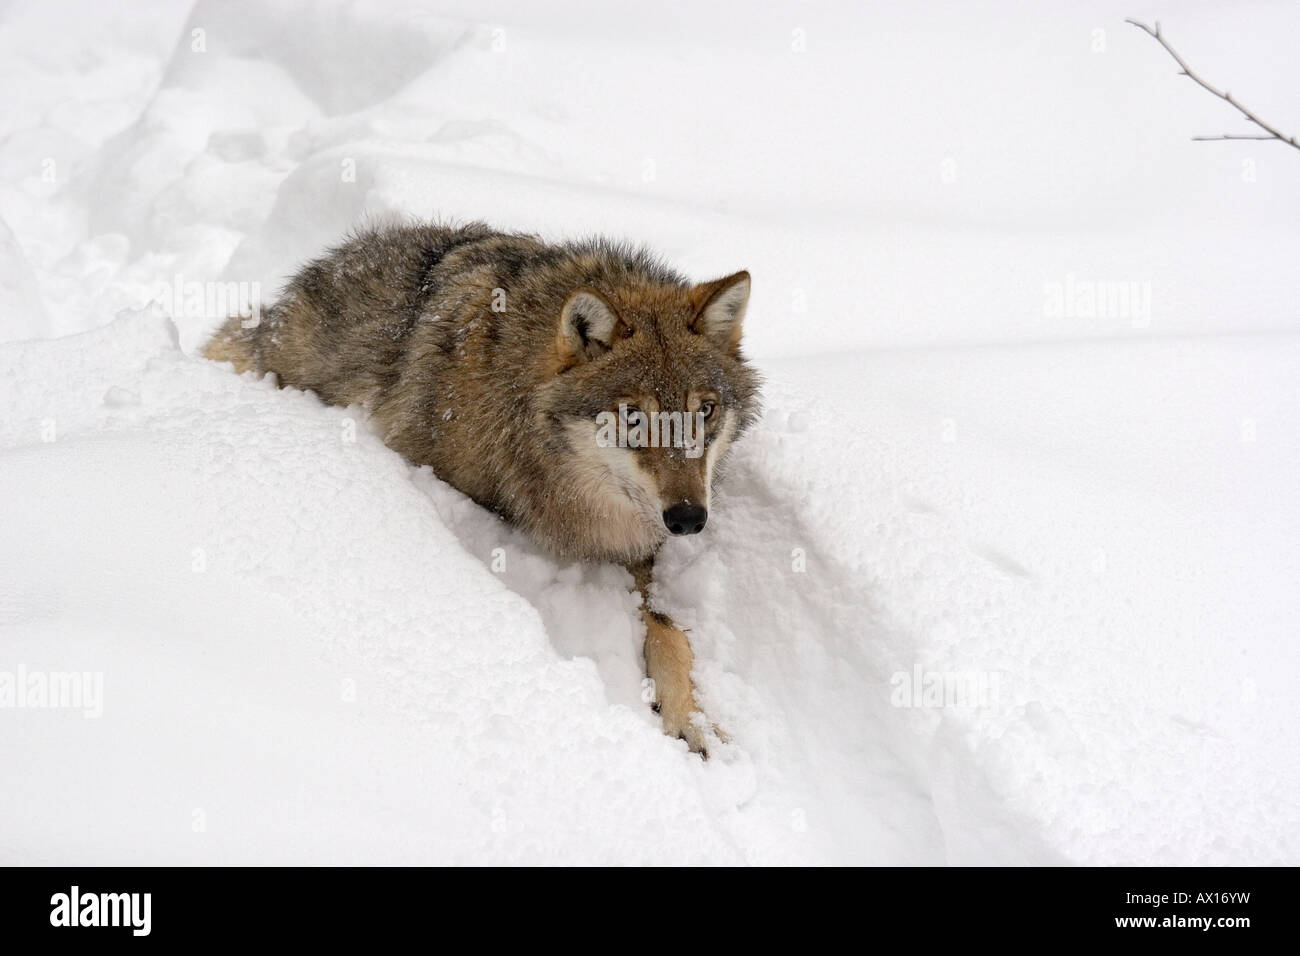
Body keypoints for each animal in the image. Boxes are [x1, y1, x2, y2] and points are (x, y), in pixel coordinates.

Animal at [203, 222, 760, 754]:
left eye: (705, 411)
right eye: (633, 417)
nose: (688, 519)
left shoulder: (638, 545)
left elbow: (672, 634)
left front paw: (693, 717)